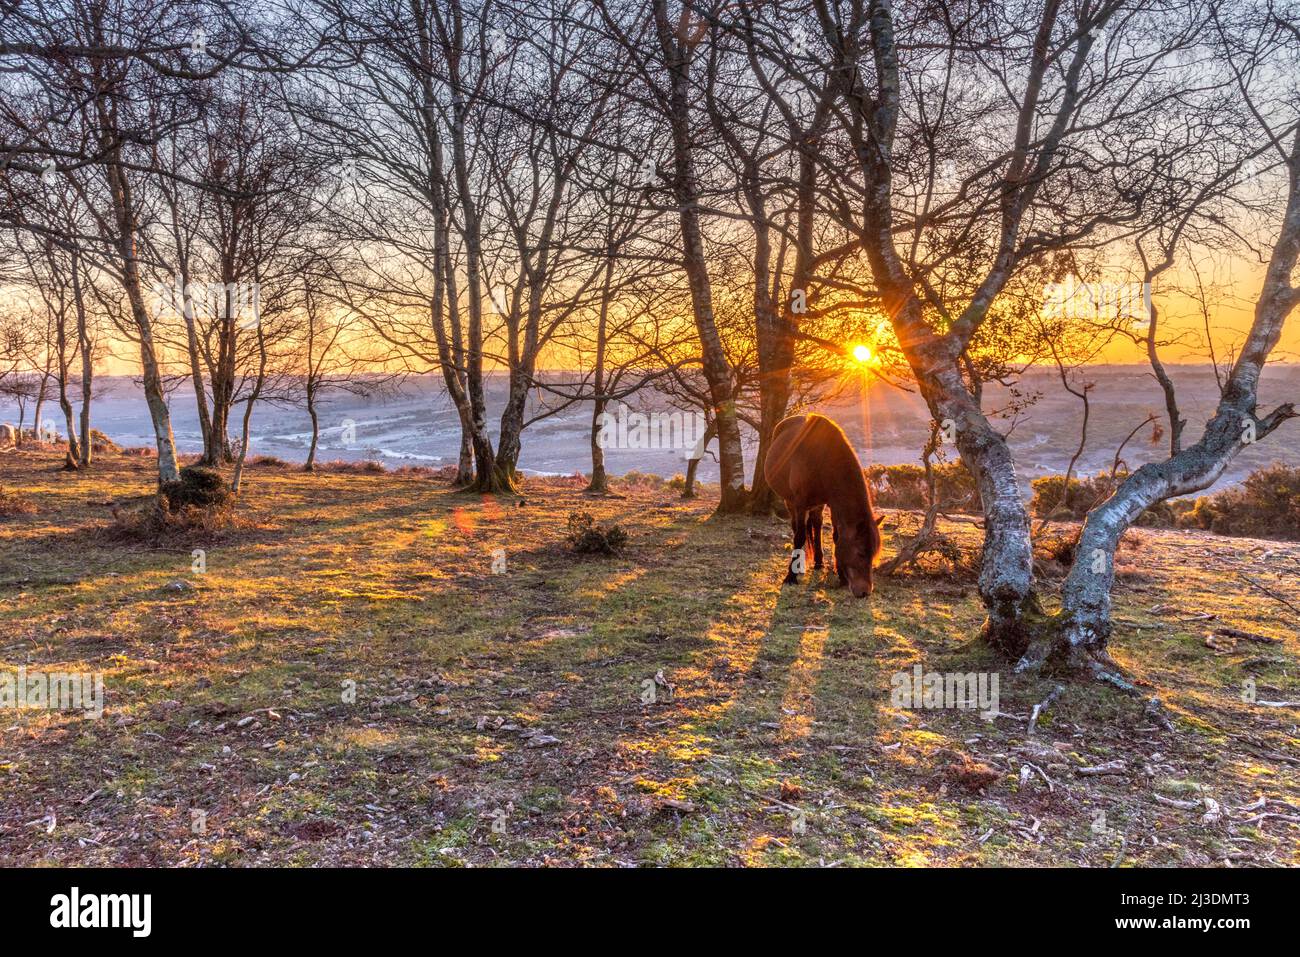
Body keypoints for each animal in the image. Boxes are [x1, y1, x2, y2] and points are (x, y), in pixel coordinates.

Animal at [763, 413, 883, 597]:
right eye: (860, 553)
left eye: (873, 554)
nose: (865, 592)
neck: (822, 458)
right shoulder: (800, 504)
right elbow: (799, 537)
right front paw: (790, 576)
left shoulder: (832, 503)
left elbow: (836, 536)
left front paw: (841, 577)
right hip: (790, 501)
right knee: (797, 528)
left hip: (818, 504)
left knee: (817, 525)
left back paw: (819, 562)